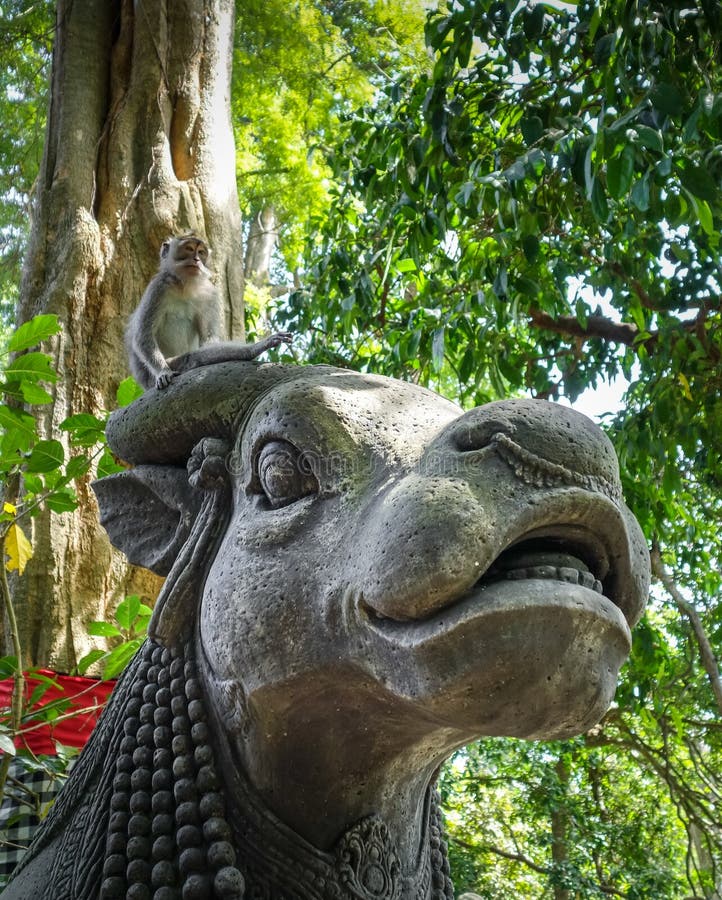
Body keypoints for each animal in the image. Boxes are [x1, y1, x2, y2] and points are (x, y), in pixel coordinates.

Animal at [125, 233, 293, 390]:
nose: (197, 260)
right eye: (188, 249)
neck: (184, 287)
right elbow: (143, 336)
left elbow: (208, 341)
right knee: (189, 358)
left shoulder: (209, 294)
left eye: (201, 252)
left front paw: (255, 348)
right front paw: (163, 371)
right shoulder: (158, 288)